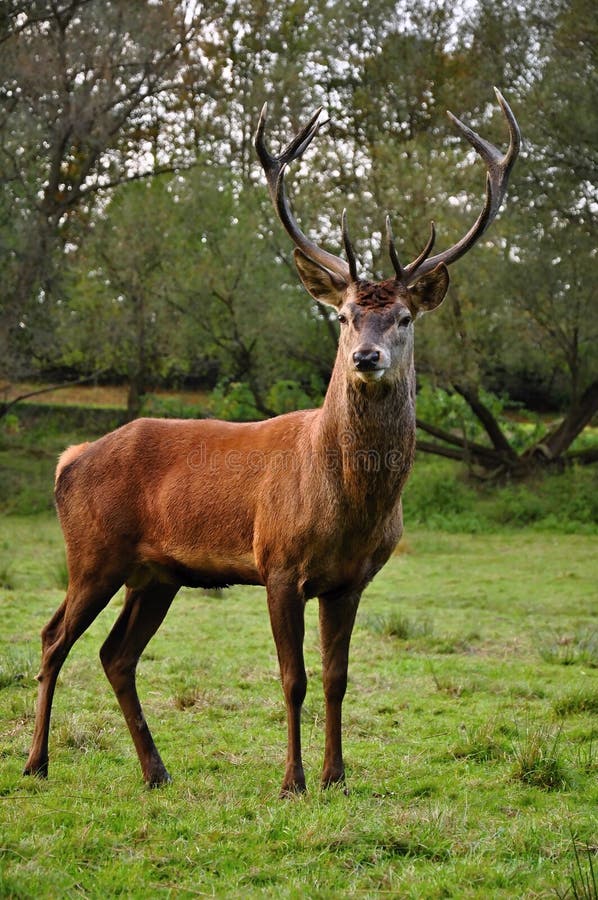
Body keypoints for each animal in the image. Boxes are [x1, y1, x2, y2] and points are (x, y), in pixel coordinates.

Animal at [24, 89, 520, 797]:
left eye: (402, 318)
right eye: (344, 316)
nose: (366, 357)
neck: (350, 504)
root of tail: (67, 459)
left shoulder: (351, 580)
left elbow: (338, 679)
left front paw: (337, 776)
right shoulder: (277, 562)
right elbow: (294, 680)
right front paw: (292, 781)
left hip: (156, 574)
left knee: (115, 655)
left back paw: (156, 771)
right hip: (93, 553)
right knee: (52, 638)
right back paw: (36, 762)